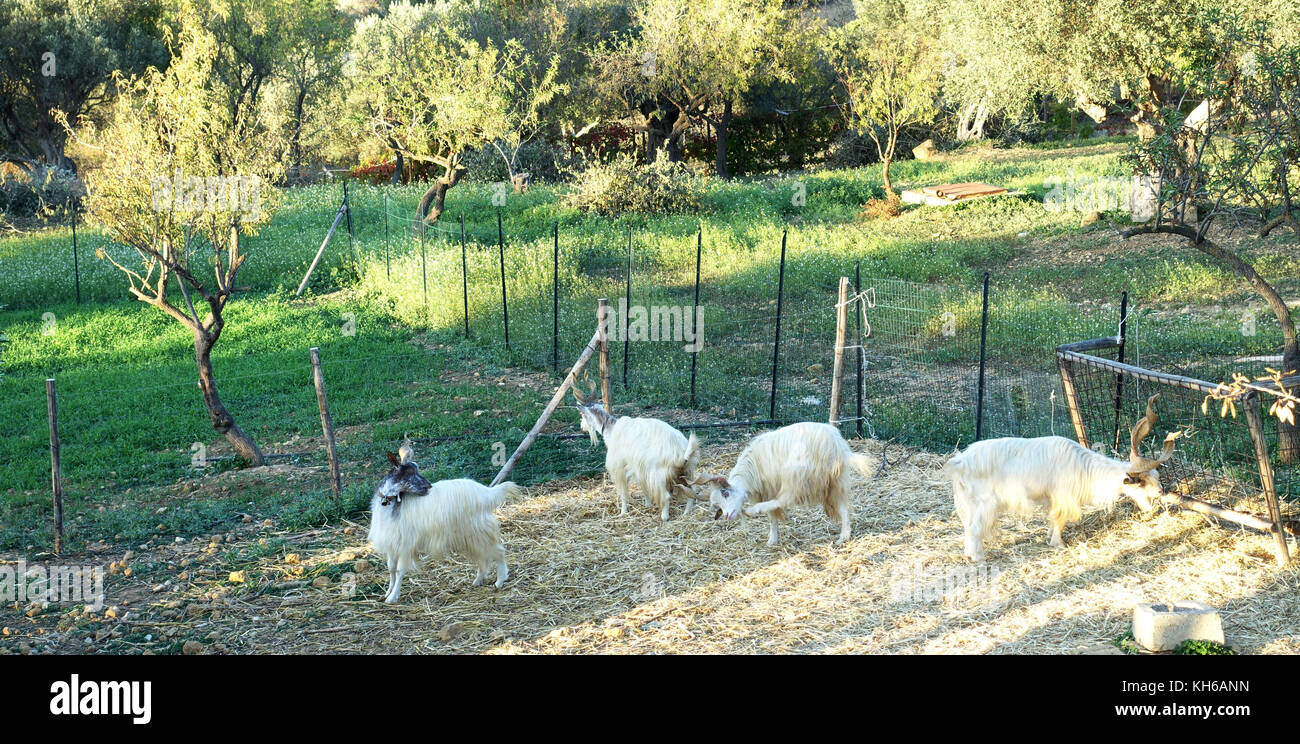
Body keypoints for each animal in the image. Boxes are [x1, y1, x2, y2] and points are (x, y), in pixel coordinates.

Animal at [368, 451, 520, 603]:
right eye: (409, 472)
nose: (429, 486)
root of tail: (486, 493)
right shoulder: (392, 543)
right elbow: (391, 569)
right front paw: (388, 592)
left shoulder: (405, 544)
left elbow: (399, 571)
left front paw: (393, 597)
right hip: (471, 536)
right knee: (483, 556)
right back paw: (478, 580)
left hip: (479, 531)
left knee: (498, 551)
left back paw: (500, 580)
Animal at [572, 382, 701, 521]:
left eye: (582, 414)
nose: (582, 427)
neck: (612, 429)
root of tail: (682, 452)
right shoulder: (637, 468)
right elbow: (643, 487)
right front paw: (647, 505)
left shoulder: (620, 467)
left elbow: (623, 492)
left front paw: (623, 512)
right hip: (686, 472)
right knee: (692, 490)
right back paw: (686, 513)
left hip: (658, 475)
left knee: (666, 496)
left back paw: (664, 517)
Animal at [698, 422, 873, 546]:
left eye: (725, 493)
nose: (727, 516)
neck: (750, 472)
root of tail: (837, 448)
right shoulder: (767, 490)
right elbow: (772, 517)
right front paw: (772, 540)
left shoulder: (770, 487)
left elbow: (774, 508)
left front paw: (756, 514)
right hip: (836, 481)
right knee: (844, 508)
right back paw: (844, 536)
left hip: (796, 474)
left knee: (786, 498)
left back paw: (753, 510)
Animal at [946, 394, 1181, 562]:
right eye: (1140, 482)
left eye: (1156, 476)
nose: (1161, 492)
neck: (1085, 467)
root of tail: (960, 462)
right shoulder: (1063, 497)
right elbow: (1059, 520)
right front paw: (1058, 544)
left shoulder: (1052, 498)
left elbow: (1052, 519)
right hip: (987, 504)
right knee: (974, 529)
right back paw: (977, 558)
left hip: (972, 504)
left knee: (968, 527)